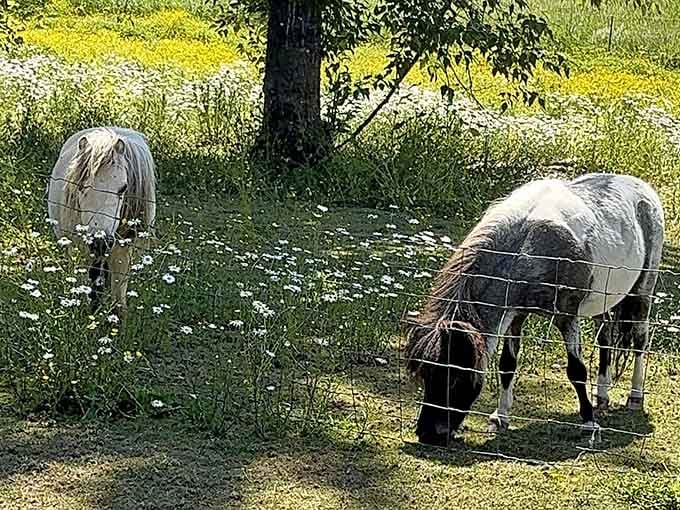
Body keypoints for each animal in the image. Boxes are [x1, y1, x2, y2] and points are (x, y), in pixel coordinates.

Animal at [405, 173, 664, 446]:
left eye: (454, 377)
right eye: (426, 374)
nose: (428, 433)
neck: (528, 245)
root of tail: (642, 188)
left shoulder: (566, 317)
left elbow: (576, 370)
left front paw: (589, 425)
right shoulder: (515, 314)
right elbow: (507, 365)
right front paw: (500, 417)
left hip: (643, 292)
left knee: (639, 340)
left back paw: (635, 397)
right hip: (603, 302)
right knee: (605, 340)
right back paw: (601, 396)